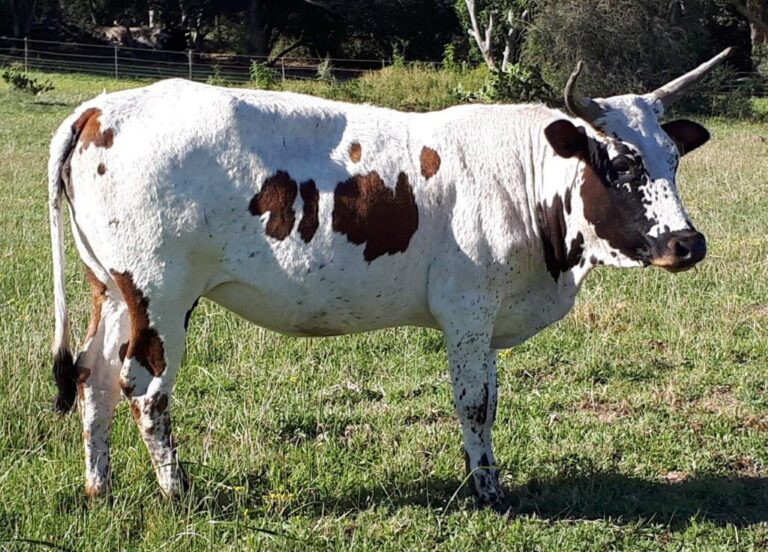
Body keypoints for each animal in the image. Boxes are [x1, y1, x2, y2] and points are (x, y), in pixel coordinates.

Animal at [48, 48, 731, 506]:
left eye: (673, 158)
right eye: (621, 163)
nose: (687, 243)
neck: (525, 178)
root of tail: (102, 105)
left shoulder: (484, 316)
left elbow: (488, 399)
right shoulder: (467, 311)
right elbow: (475, 401)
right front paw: (488, 491)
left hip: (114, 290)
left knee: (93, 375)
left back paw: (99, 486)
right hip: (161, 295)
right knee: (145, 390)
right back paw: (178, 492)